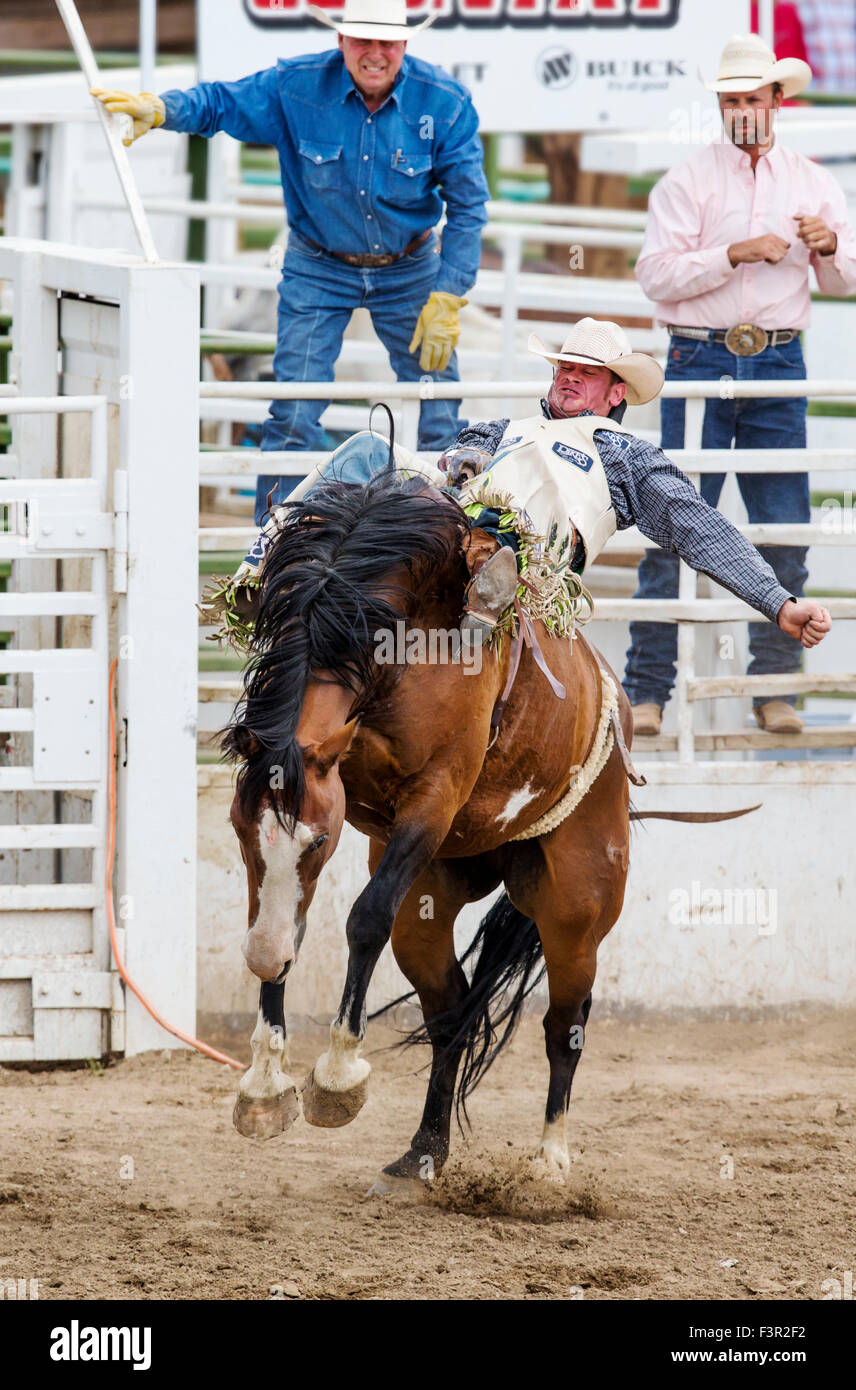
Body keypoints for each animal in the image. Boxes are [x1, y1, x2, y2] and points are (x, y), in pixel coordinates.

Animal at [222, 469, 637, 1185]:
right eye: (243, 836)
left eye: (320, 841)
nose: (262, 961)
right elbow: (286, 925)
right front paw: (265, 1086)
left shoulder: (432, 800)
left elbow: (364, 918)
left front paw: (335, 1077)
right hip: (433, 901)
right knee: (450, 1014)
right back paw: (424, 1151)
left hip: (576, 915)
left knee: (564, 1028)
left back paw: (550, 1162)